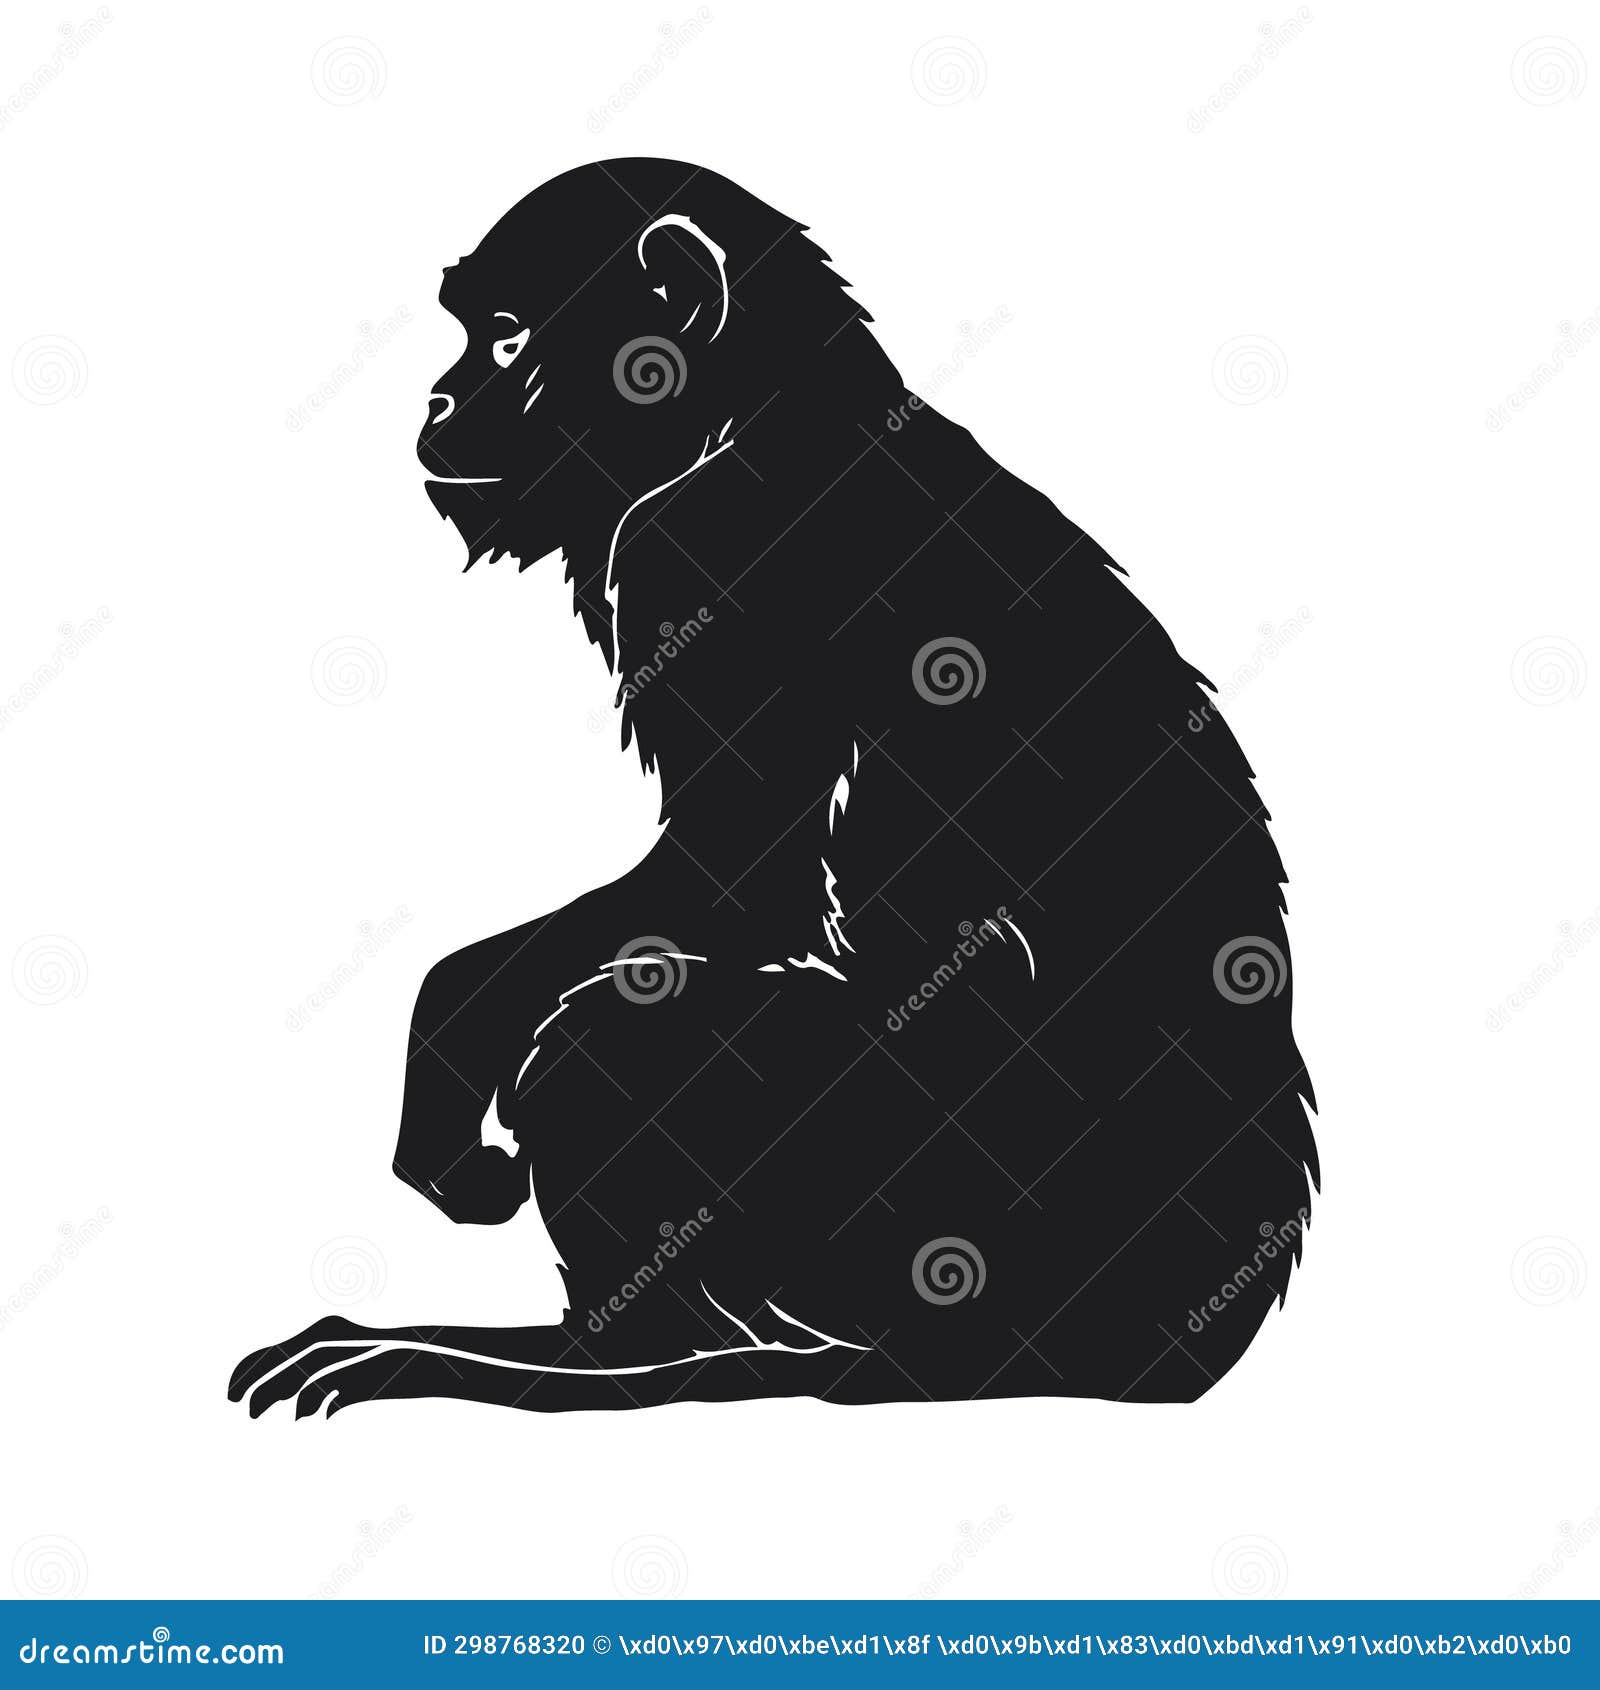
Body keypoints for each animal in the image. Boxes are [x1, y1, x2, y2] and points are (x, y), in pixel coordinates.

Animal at [231, 159, 1317, 1418]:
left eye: (502, 336)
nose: (440, 400)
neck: (744, 415)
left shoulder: (703, 556)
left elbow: (733, 876)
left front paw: (454, 1036)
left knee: (627, 1026)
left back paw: (574, 1363)